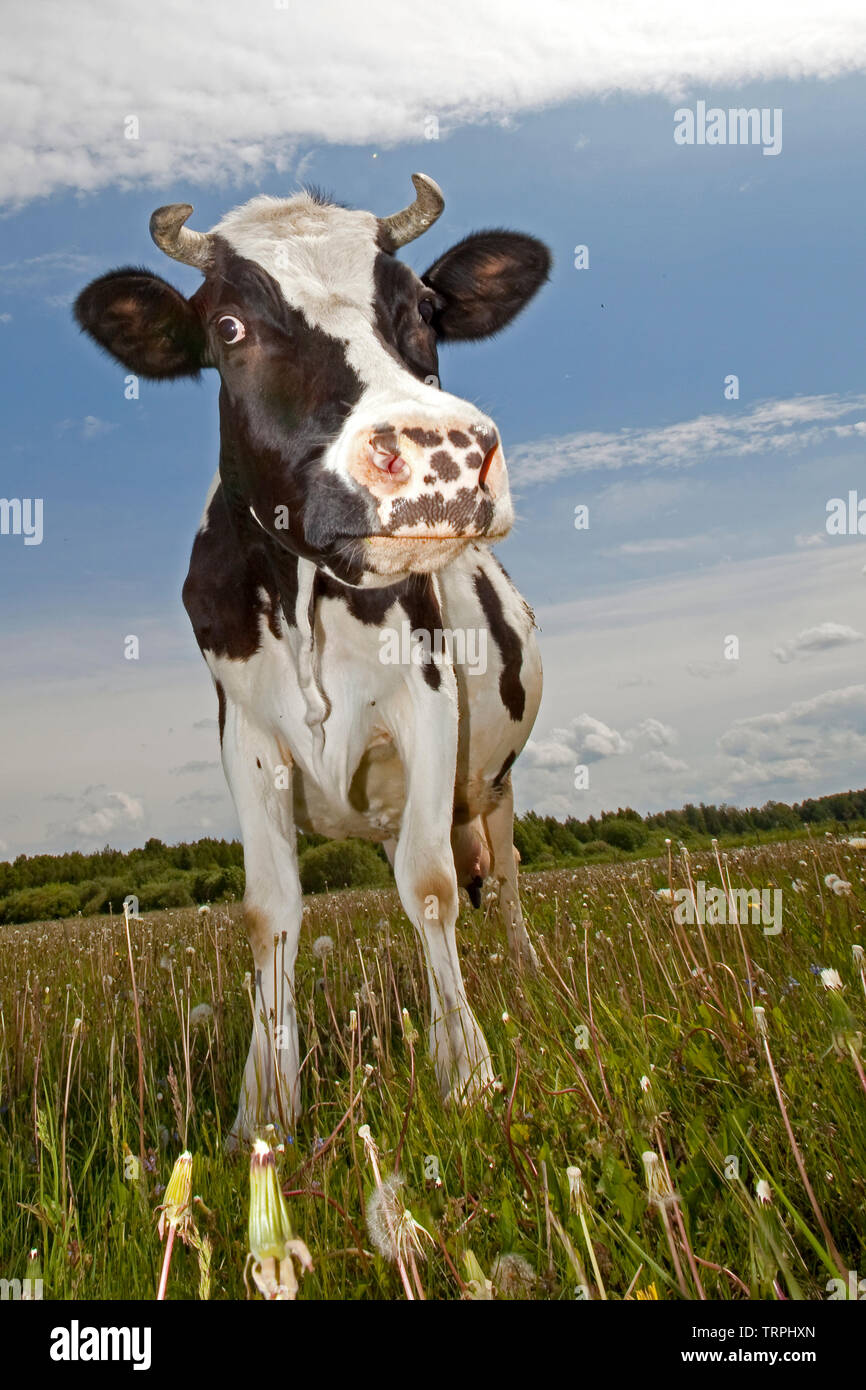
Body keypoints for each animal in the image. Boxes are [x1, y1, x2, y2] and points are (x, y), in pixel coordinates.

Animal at [74, 174, 549, 1143]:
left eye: (425, 309)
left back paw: (520, 972)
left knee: (507, 875)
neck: (302, 595)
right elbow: (271, 912)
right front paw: (264, 1109)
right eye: (229, 327)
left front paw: (466, 1072)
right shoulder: (246, 732)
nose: (445, 457)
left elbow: (433, 887)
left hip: (497, 783)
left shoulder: (426, 702)